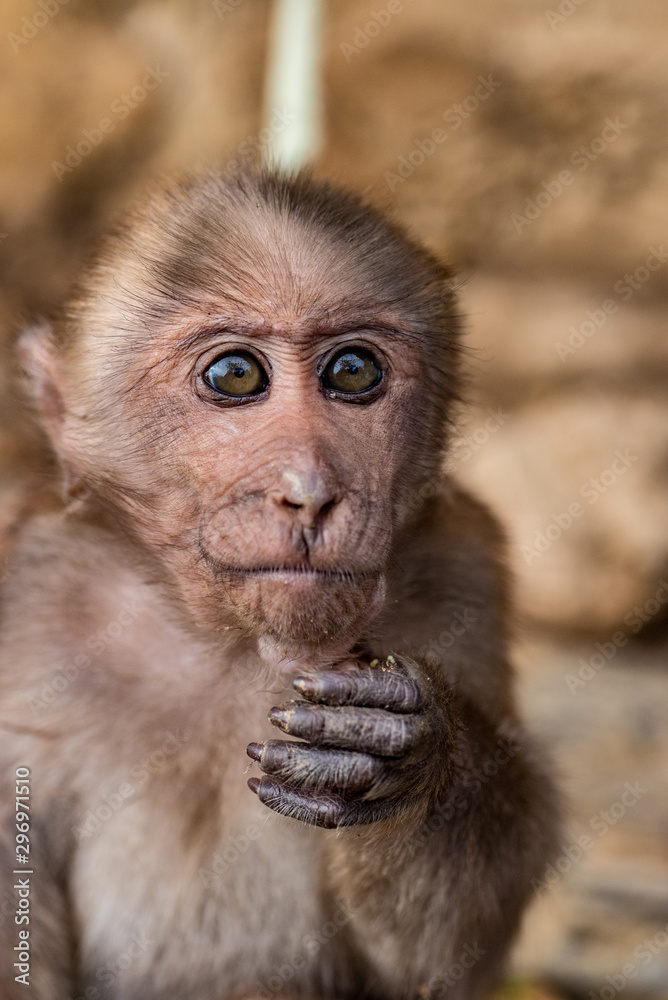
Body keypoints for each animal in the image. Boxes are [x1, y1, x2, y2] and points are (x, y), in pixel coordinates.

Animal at [0, 168, 558, 1000]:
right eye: (236, 375)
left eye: (353, 371)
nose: (309, 491)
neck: (229, 646)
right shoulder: (34, 605)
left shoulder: (462, 572)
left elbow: (445, 963)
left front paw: (407, 765)